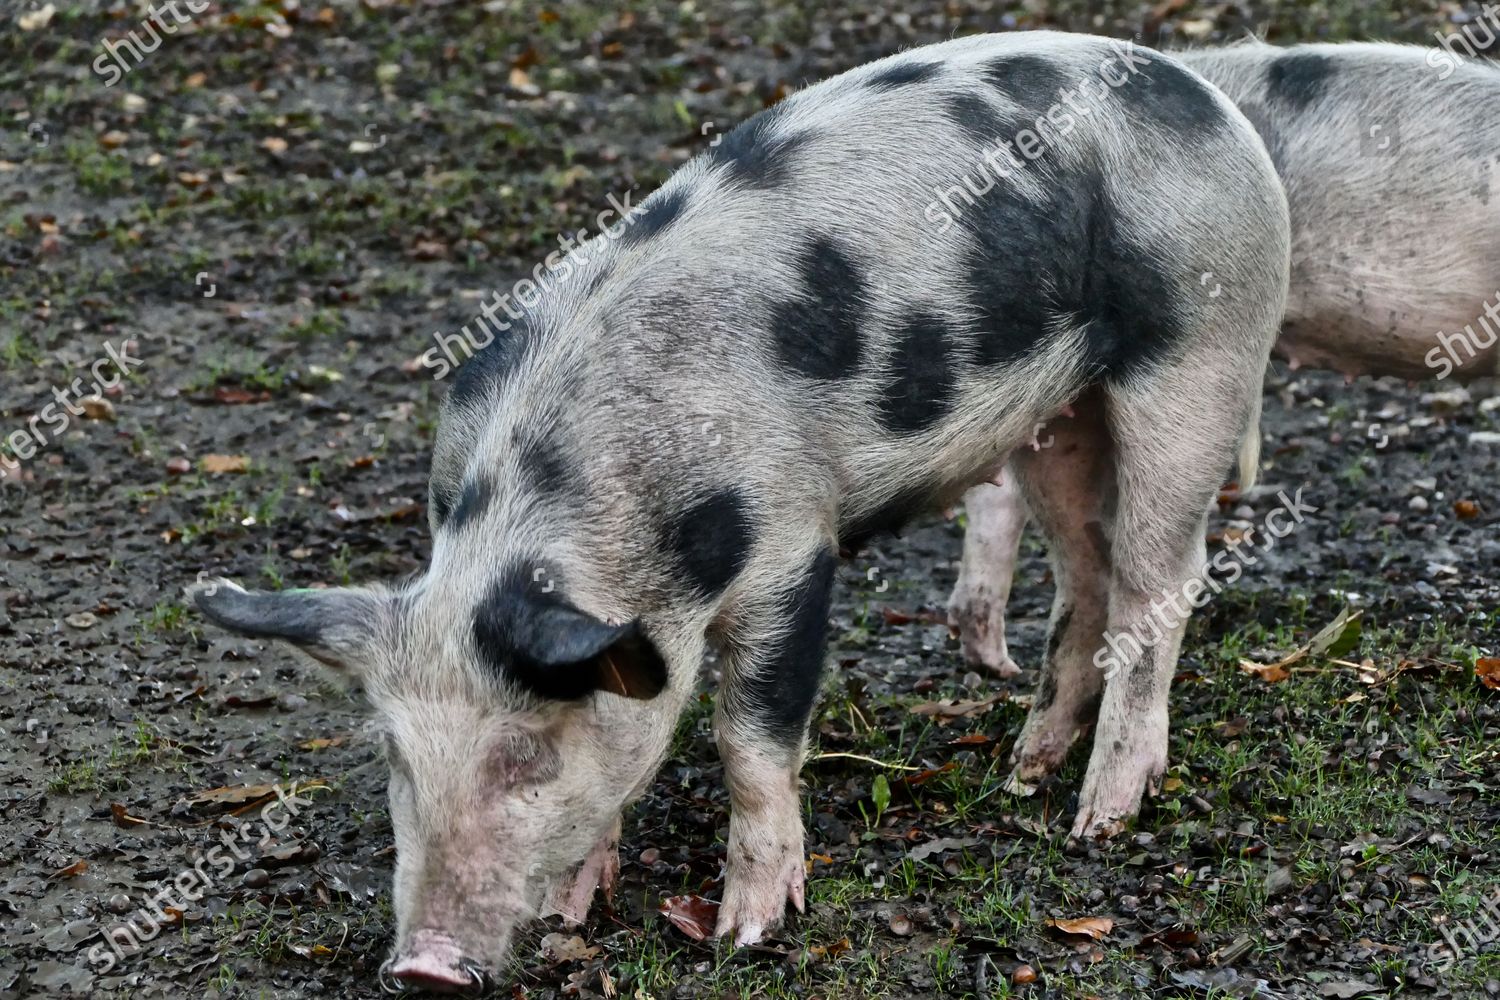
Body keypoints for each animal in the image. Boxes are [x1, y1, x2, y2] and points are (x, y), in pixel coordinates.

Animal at [191, 31, 1290, 990]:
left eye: (525, 753)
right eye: (396, 756)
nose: (422, 968)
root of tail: (1193, 89)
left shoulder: (790, 549)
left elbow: (749, 742)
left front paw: (747, 933)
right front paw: (576, 909)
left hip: (1202, 346)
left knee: (1161, 582)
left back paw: (1098, 817)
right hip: (1056, 416)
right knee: (1086, 575)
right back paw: (1025, 770)